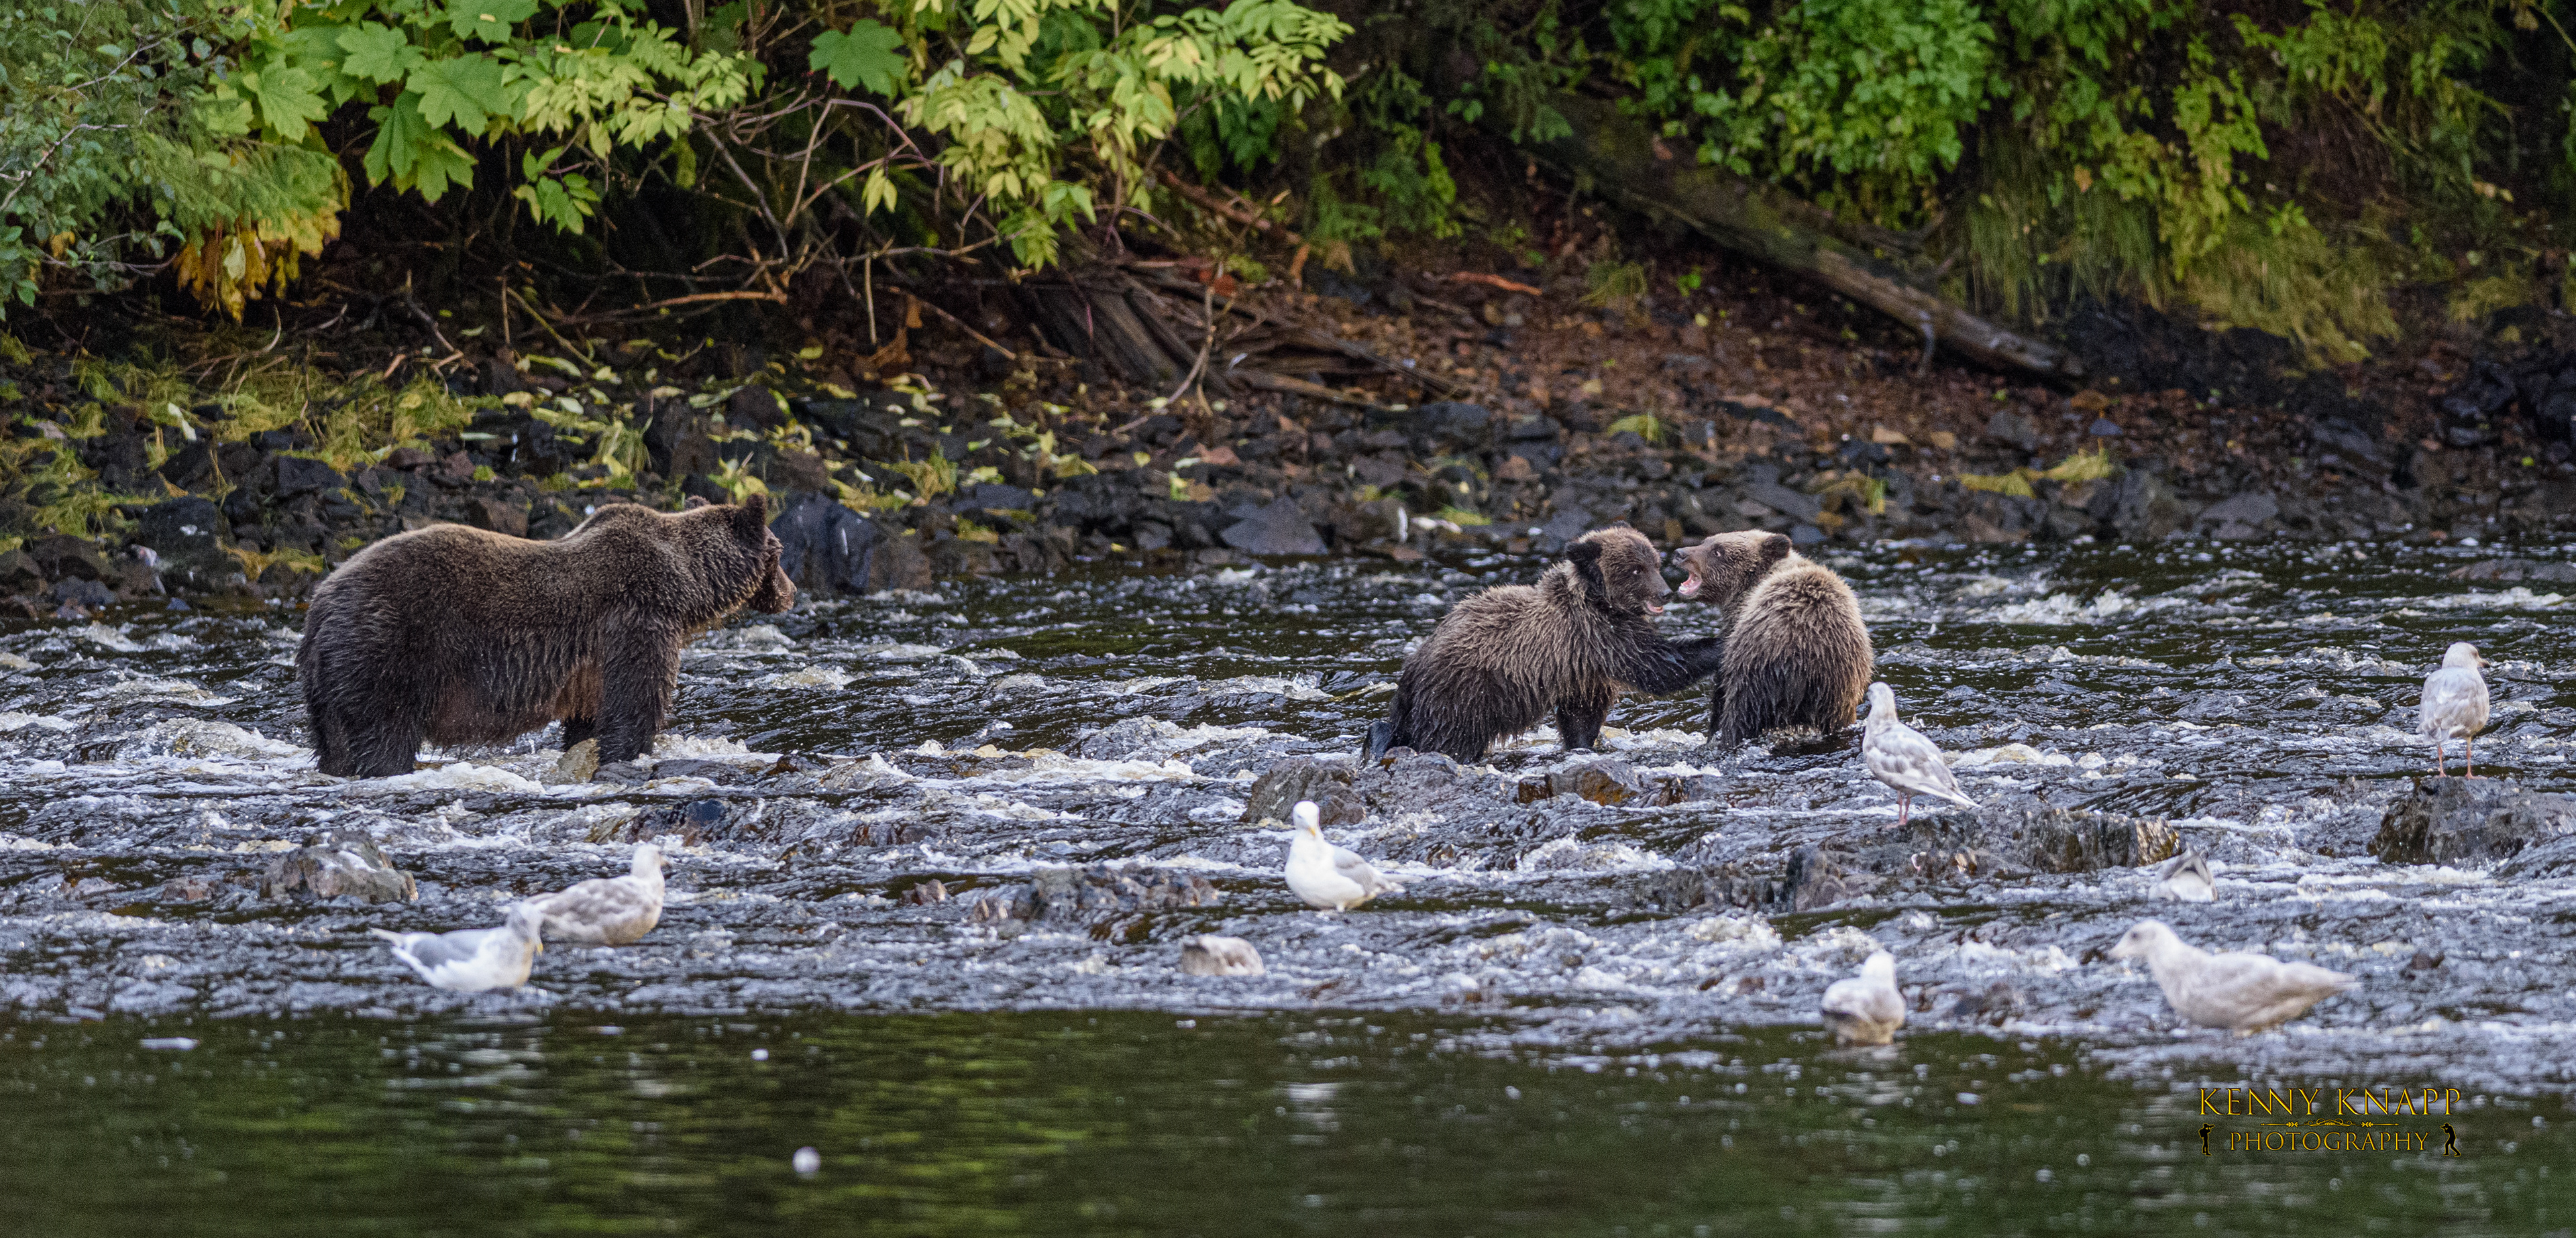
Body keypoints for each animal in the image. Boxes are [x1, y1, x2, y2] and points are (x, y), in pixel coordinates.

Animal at [297, 494, 795, 778]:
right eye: (780, 551)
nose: (791, 592)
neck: (688, 584)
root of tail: (320, 603)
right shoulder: (637, 618)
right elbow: (637, 700)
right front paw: (629, 752)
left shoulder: (594, 664)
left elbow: (592, 716)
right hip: (389, 648)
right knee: (385, 731)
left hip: (327, 683)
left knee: (335, 740)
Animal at [1365, 525, 1726, 763]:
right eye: (1636, 570)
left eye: (1654, 563)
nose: (1665, 592)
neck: (1598, 602)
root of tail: (1414, 665)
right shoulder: (1599, 637)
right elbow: (1659, 665)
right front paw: (1719, 643)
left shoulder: (1582, 665)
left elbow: (1581, 714)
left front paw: (1581, 745)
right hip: (1461, 698)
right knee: (1445, 740)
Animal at [1673, 530, 1872, 748]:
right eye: (1705, 542)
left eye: (1718, 551)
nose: (1680, 553)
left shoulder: (1733, 635)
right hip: (1838, 691)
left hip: (1753, 671)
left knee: (1738, 716)